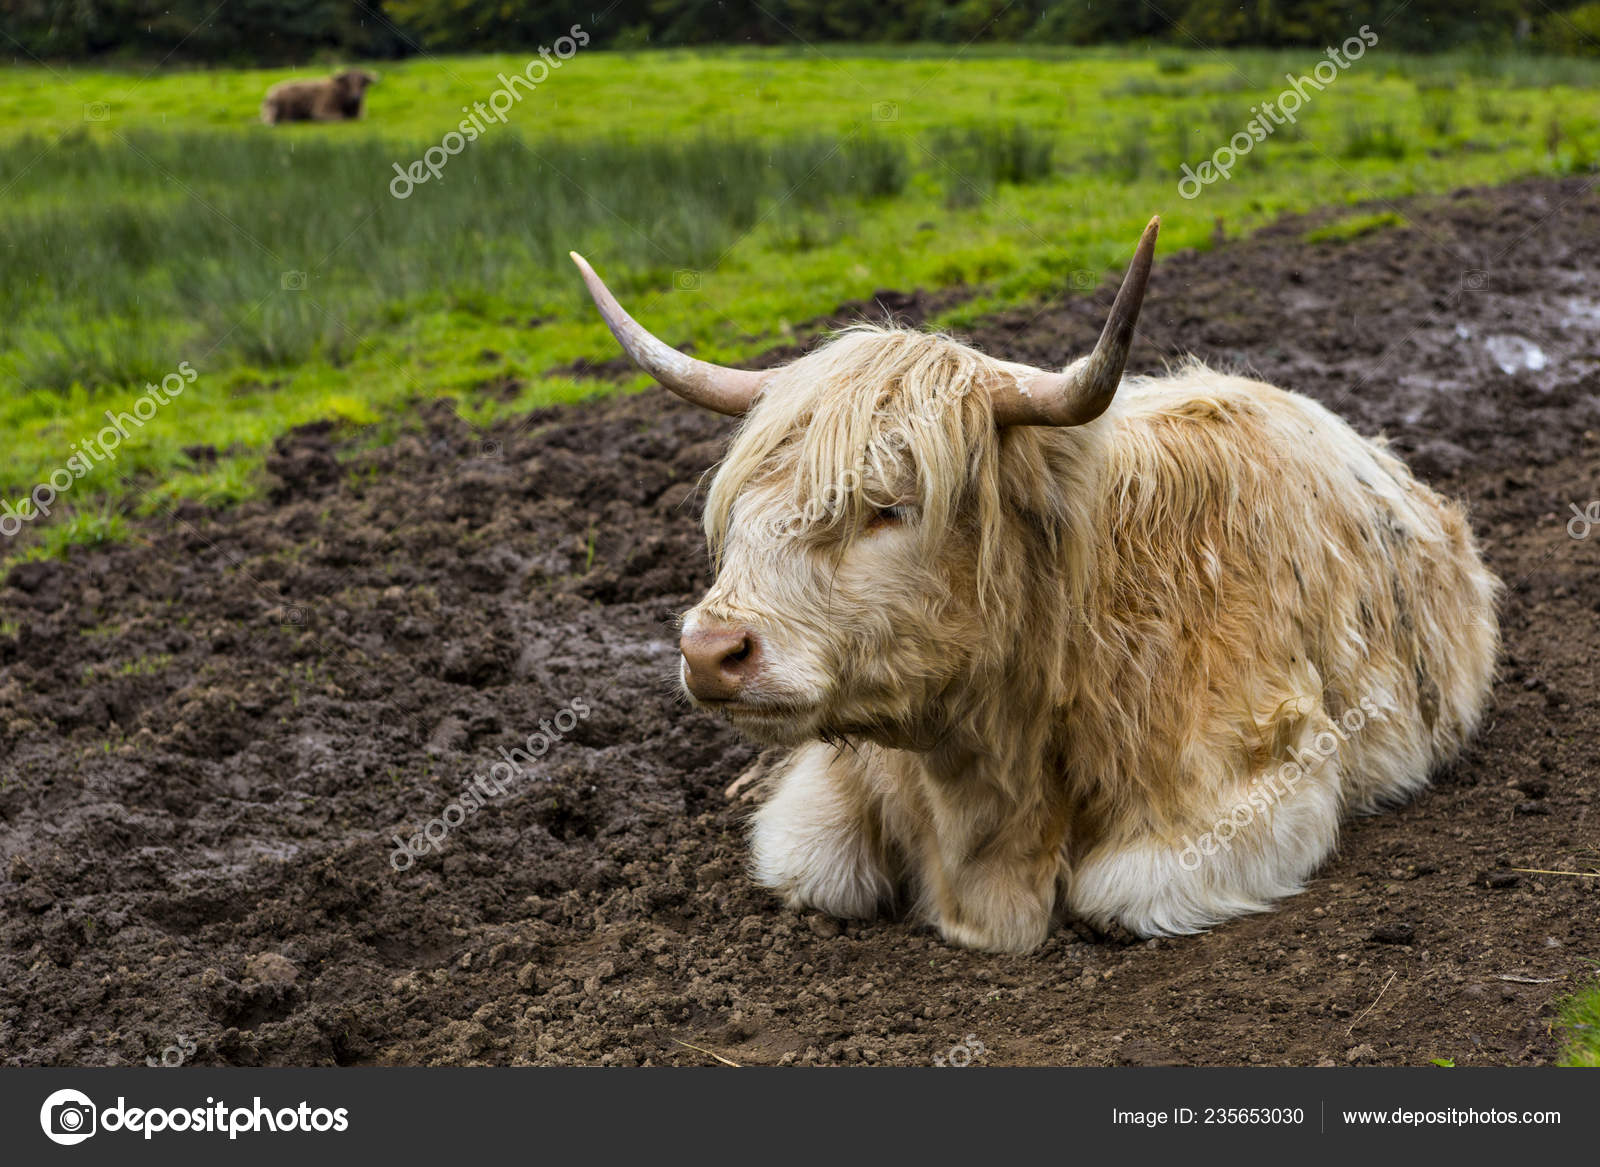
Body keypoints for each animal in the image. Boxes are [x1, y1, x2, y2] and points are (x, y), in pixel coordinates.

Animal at [569, 218, 1501, 953]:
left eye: (890, 507)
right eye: (744, 504)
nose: (710, 651)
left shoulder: (1266, 782)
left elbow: (1114, 894)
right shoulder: (821, 810)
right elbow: (812, 863)